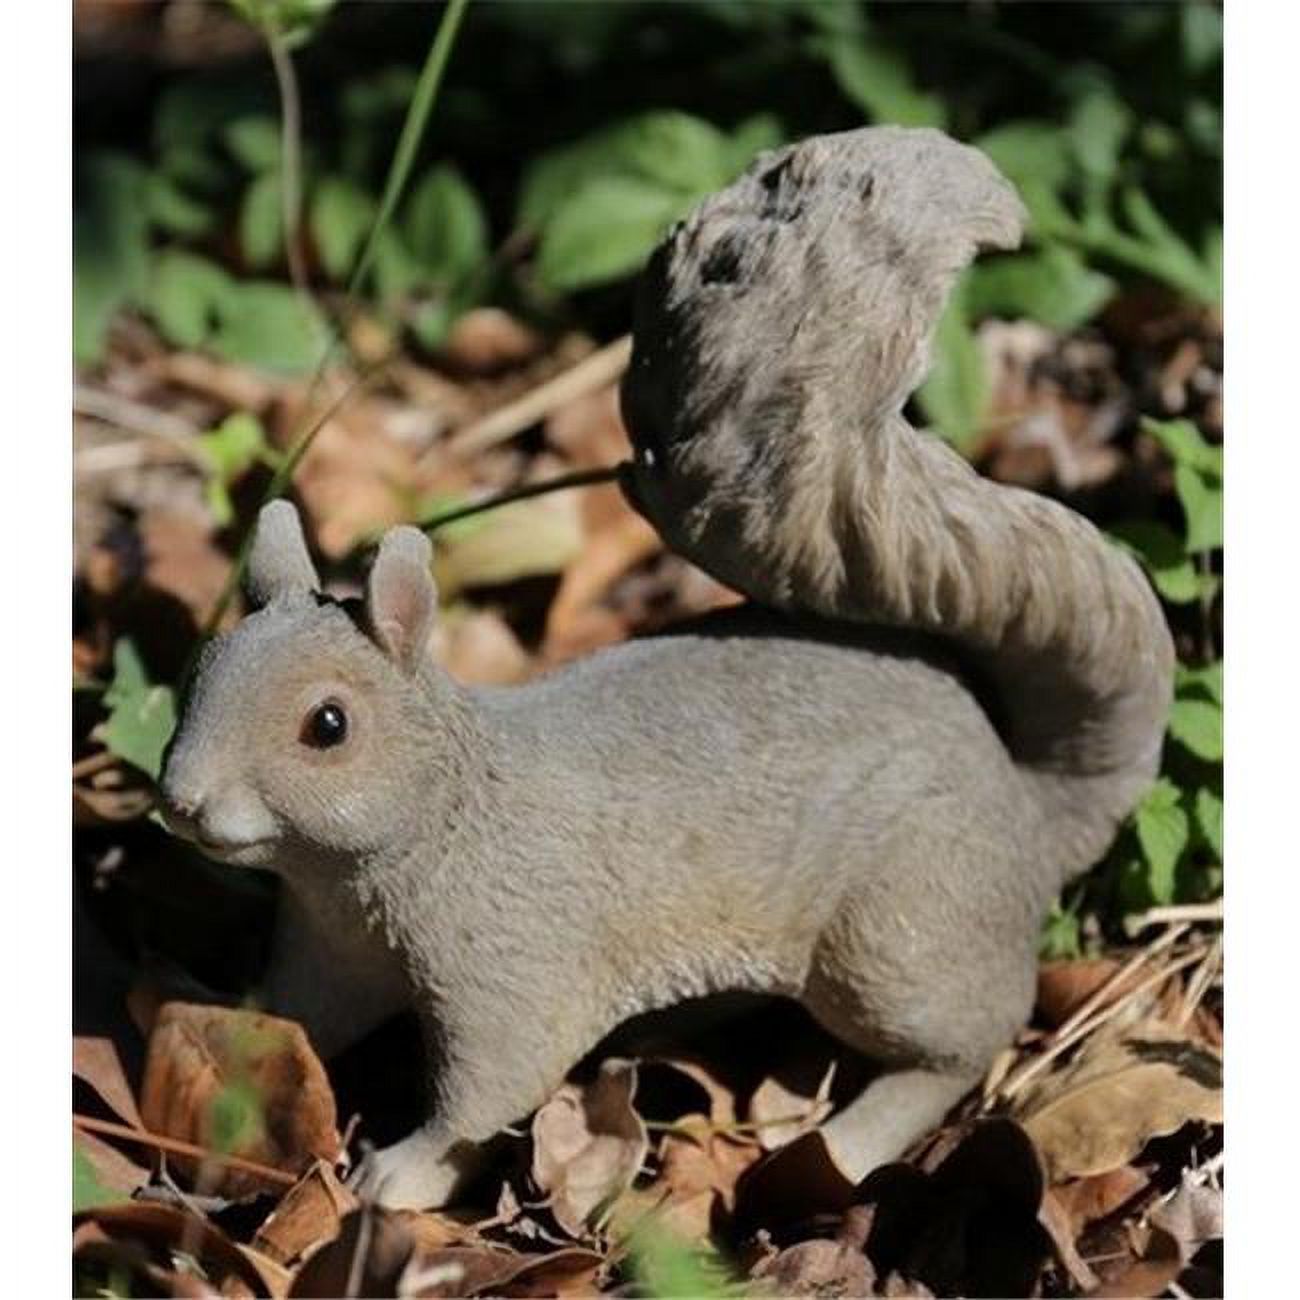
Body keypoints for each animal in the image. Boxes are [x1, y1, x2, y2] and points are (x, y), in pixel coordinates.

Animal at [159, 127, 1174, 1210]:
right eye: (197, 674)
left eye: (329, 725)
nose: (180, 801)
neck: (427, 830)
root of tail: (1025, 804)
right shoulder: (333, 946)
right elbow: (302, 1008)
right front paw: (217, 1011)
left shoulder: (517, 955)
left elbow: (489, 1086)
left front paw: (401, 1167)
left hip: (901, 933)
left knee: (962, 1043)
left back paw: (850, 1141)